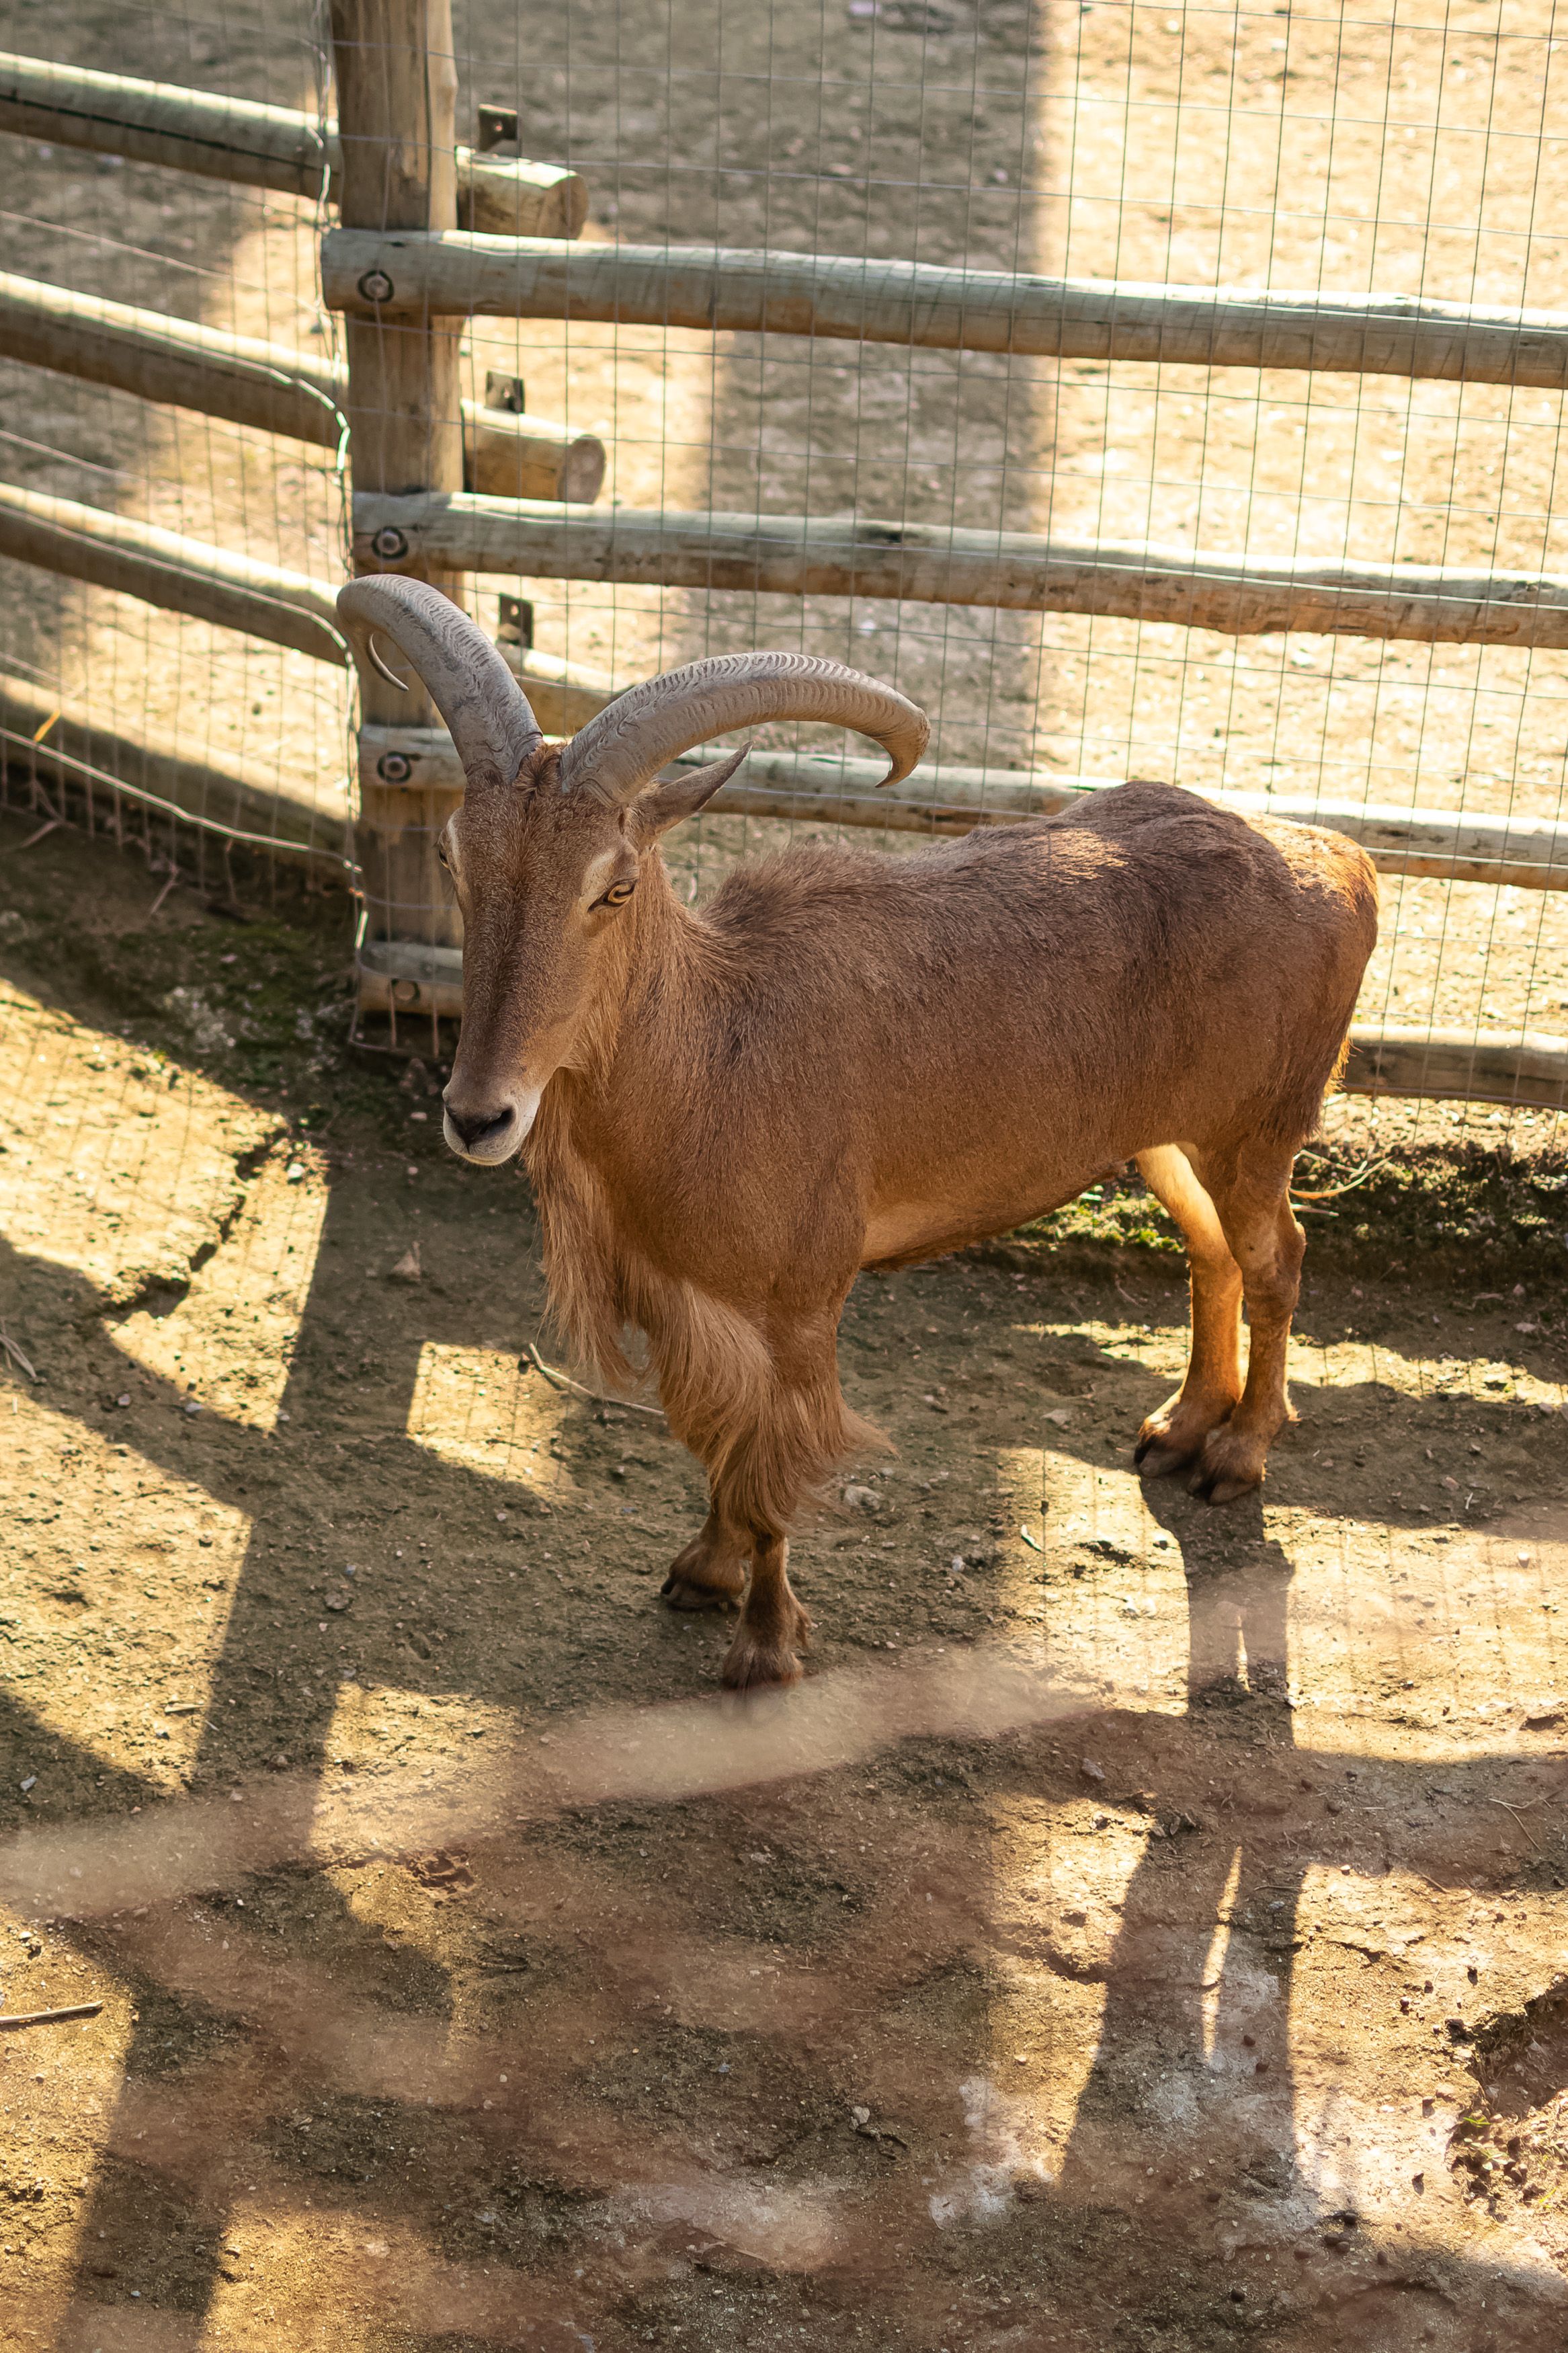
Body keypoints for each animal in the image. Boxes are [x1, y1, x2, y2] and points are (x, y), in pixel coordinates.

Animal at [338, 576, 1379, 1691]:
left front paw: (763, 1647)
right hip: (1168, 1140)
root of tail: (1342, 863)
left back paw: (1235, 1456)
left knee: (1277, 1258)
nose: (479, 1114)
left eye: (613, 886)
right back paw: (1178, 1426)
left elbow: (769, 1475)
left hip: (1255, 1132)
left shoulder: (801, 1302)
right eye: (453, 858)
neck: (715, 1053)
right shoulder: (685, 1300)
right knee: (1211, 1254)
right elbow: (716, 1443)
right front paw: (701, 1570)